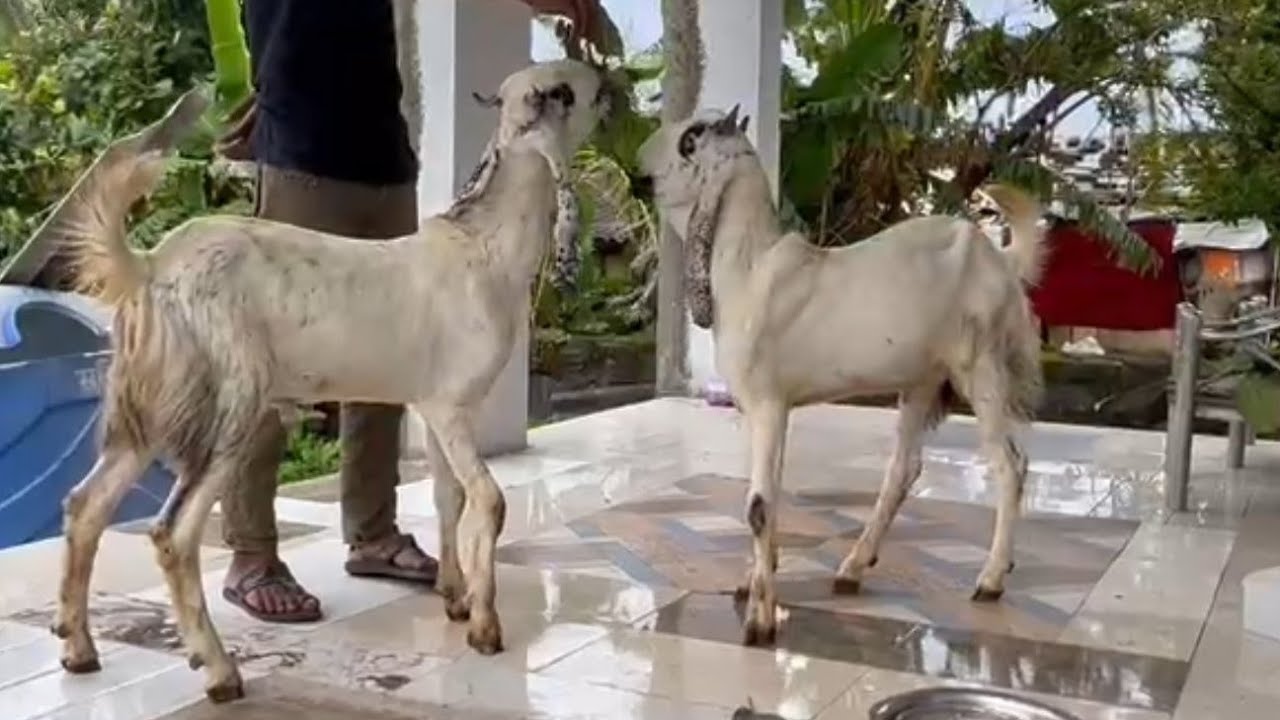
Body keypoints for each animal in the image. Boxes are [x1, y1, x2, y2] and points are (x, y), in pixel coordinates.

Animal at [50, 59, 610, 702]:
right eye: (564, 90)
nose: (611, 89)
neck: (485, 250)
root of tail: (148, 266)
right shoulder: (450, 407)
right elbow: (488, 502)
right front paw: (486, 628)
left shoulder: (435, 406)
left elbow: (449, 500)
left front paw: (455, 598)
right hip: (230, 406)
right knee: (174, 533)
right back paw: (219, 671)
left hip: (146, 406)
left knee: (86, 504)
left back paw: (78, 648)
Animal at [637, 108, 1046, 646]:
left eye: (691, 138)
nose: (638, 173)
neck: (747, 270)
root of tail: (1001, 258)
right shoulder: (766, 408)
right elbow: (770, 495)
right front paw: (752, 585)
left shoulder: (768, 402)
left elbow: (758, 505)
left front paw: (760, 624)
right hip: (921, 380)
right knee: (904, 469)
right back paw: (853, 567)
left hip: (981, 368)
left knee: (1009, 464)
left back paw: (991, 580)